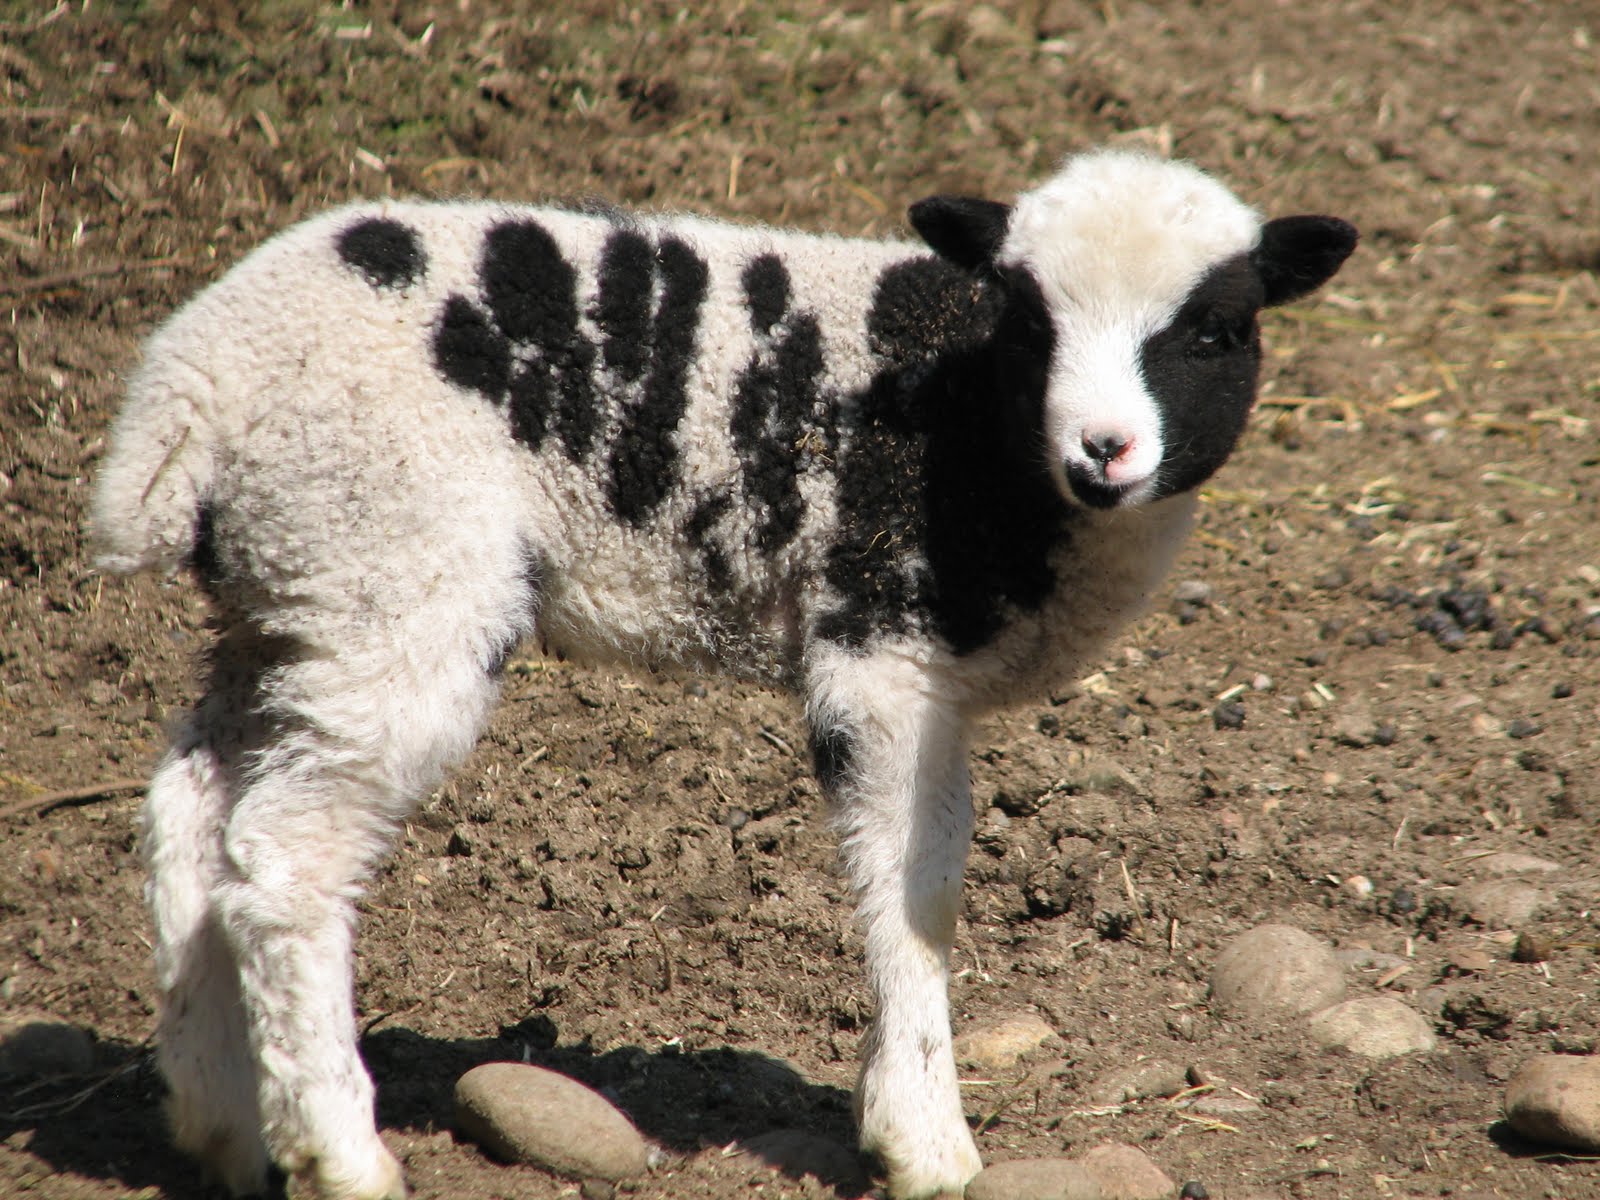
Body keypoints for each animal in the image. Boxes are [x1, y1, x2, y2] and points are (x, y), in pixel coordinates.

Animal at [90, 147, 1356, 1200]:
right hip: (387, 570)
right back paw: (338, 1156)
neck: (978, 434)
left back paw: (223, 1128)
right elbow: (918, 887)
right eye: (1033, 326)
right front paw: (921, 1142)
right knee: (287, 863)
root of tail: (189, 391)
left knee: (194, 812)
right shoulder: (879, 649)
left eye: (1215, 332)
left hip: (291, 583)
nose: (1103, 451)